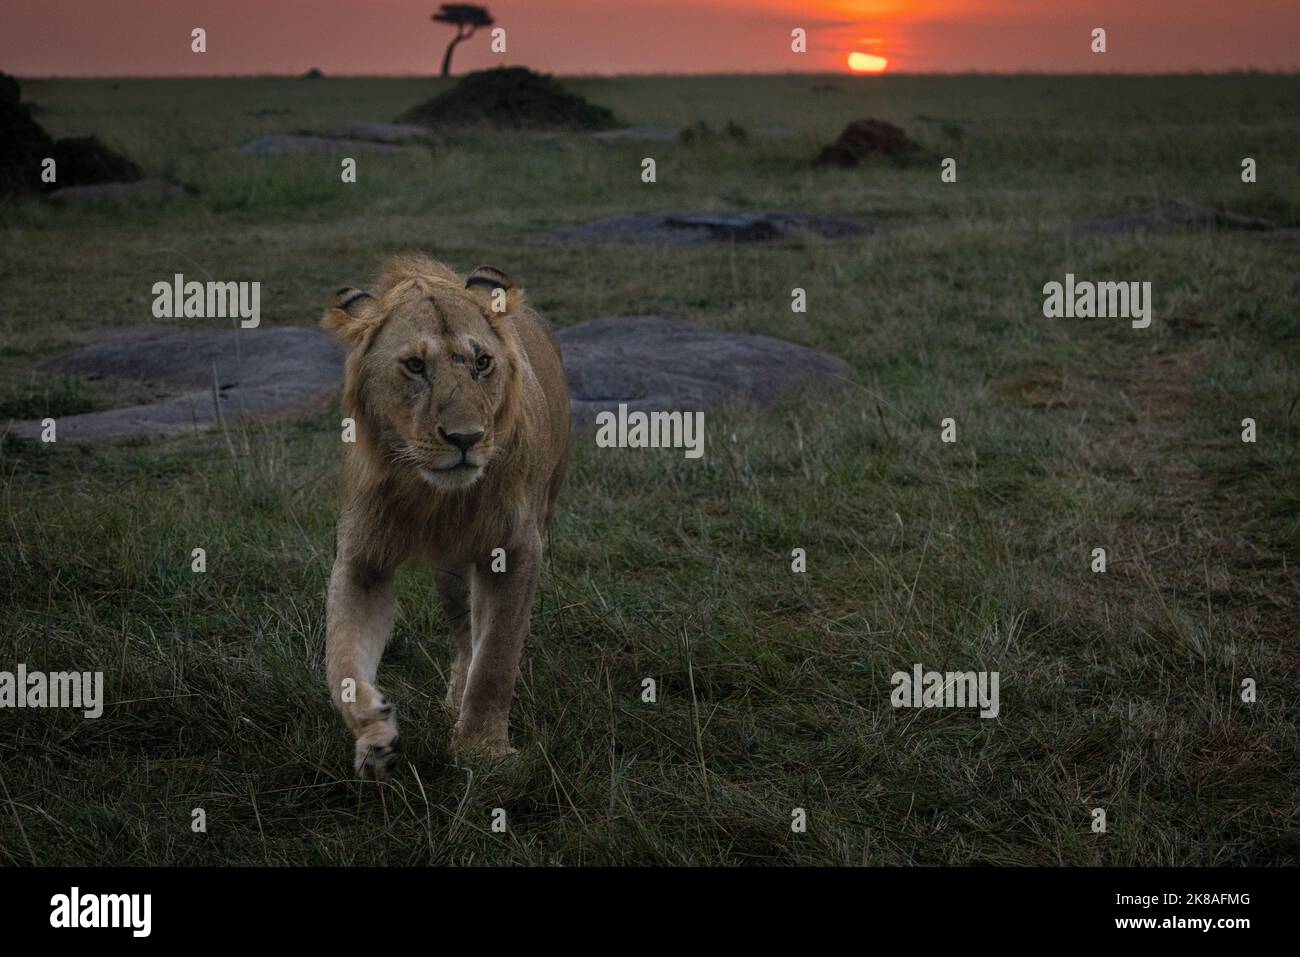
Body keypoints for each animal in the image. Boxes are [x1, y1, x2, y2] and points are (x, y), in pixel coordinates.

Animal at [321, 253, 570, 779]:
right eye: (415, 366)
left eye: (482, 363)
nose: (466, 438)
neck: (432, 494)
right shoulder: (362, 559)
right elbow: (341, 659)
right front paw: (374, 734)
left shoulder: (517, 548)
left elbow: (496, 656)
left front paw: (481, 750)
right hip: (450, 570)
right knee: (462, 633)